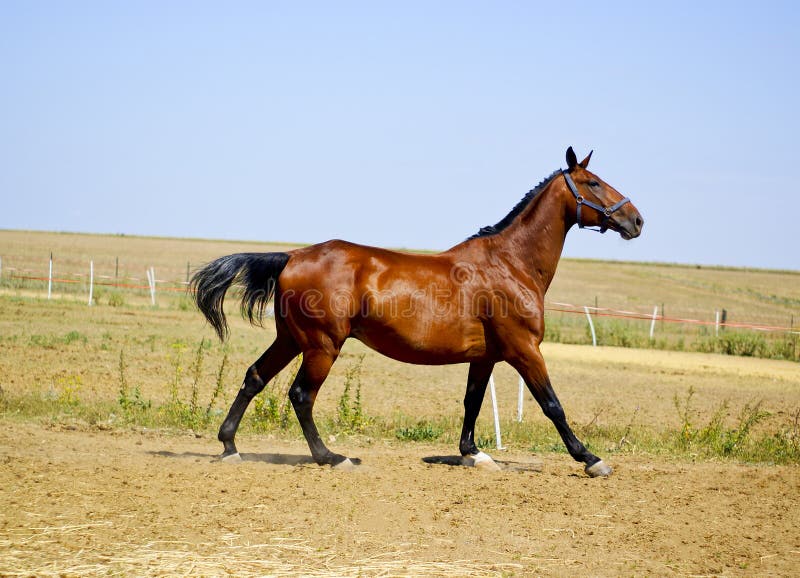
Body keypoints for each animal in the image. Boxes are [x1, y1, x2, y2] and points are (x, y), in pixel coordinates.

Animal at [191, 147, 643, 477]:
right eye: (593, 182)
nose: (636, 220)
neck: (511, 263)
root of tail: (292, 256)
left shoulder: (486, 357)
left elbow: (472, 402)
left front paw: (473, 453)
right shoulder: (524, 350)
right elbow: (552, 405)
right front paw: (591, 459)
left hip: (290, 339)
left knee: (254, 377)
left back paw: (230, 446)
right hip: (322, 345)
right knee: (301, 395)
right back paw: (332, 457)